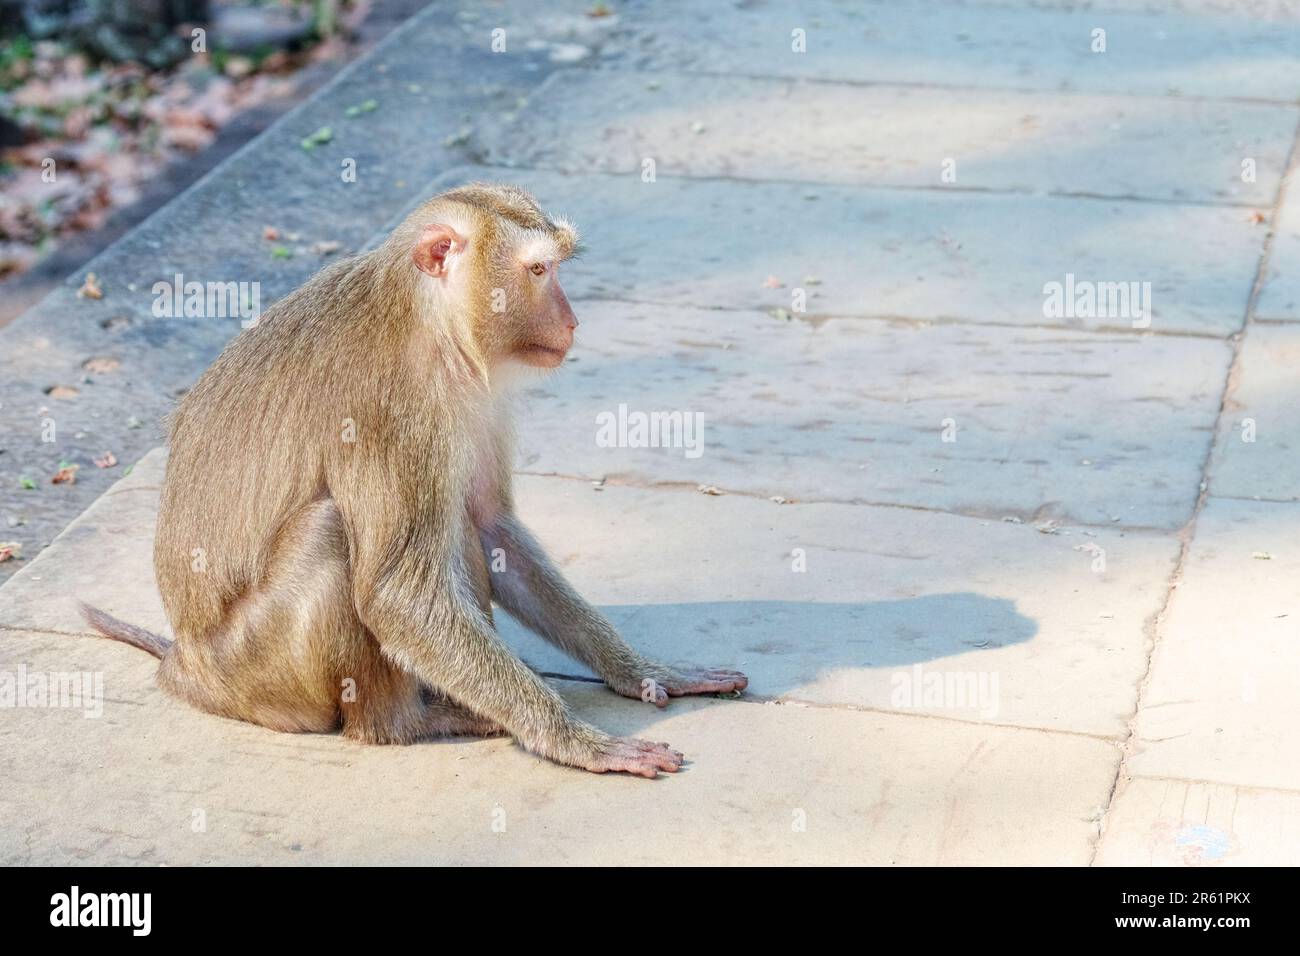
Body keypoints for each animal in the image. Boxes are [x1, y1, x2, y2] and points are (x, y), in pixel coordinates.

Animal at [82, 182, 747, 778]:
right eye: (538, 270)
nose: (572, 321)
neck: (427, 321)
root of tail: (189, 665)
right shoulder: (389, 412)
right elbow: (396, 594)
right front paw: (576, 741)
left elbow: (492, 529)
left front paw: (645, 672)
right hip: (258, 672)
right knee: (333, 532)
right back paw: (407, 723)